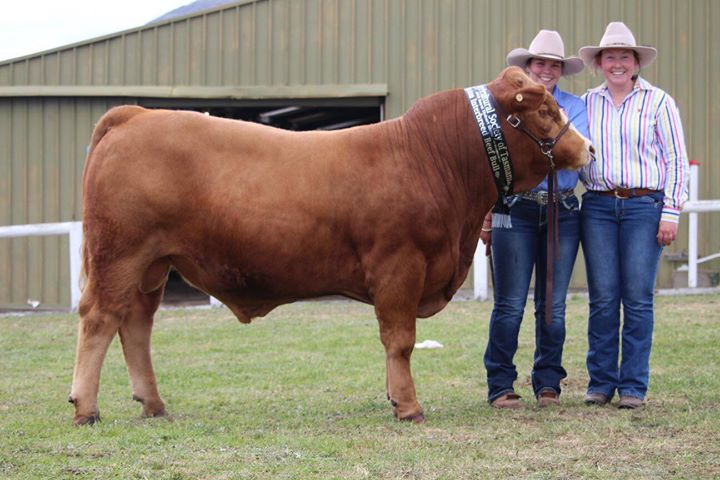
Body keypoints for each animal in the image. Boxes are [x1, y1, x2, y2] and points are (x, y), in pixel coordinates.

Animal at [69, 66, 592, 425]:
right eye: (544, 111)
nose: (587, 149)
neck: (431, 156)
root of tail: (135, 114)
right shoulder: (399, 267)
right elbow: (400, 340)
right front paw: (409, 406)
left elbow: (392, 343)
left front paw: (393, 396)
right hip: (120, 254)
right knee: (100, 318)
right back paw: (85, 408)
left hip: (153, 265)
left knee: (136, 325)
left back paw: (153, 404)